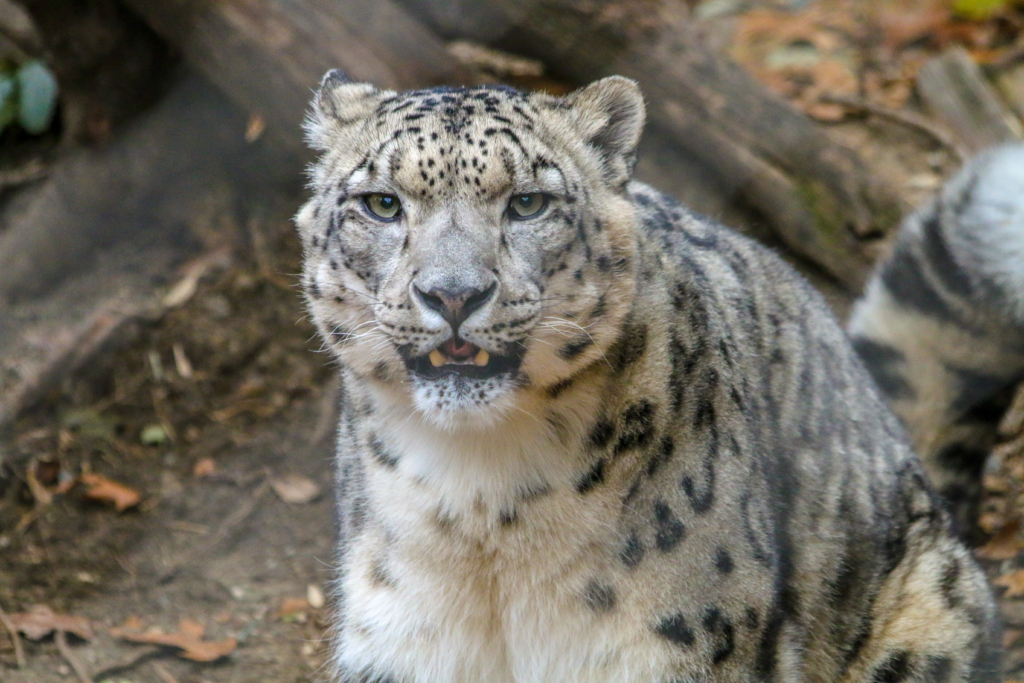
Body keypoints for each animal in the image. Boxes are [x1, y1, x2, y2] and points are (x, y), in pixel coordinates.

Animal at [294, 70, 1001, 683]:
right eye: (382, 204)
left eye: (528, 203)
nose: (453, 294)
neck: (481, 497)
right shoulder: (404, 635)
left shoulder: (686, 641)